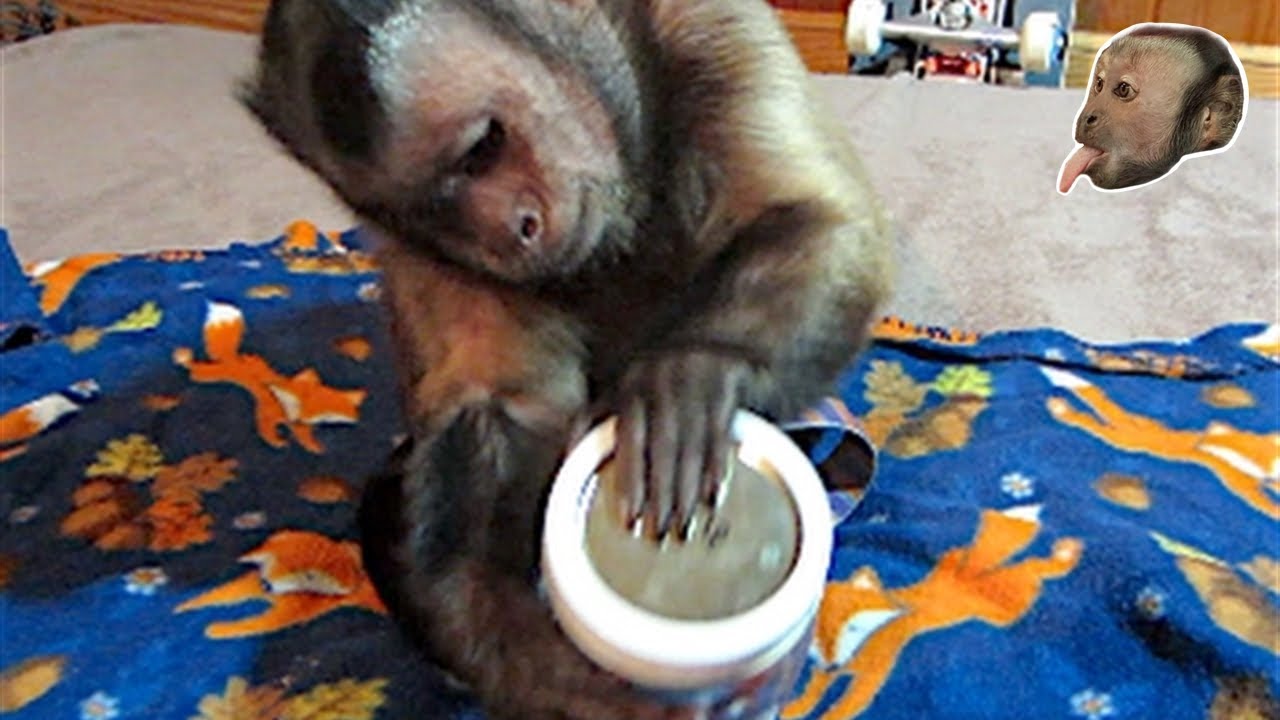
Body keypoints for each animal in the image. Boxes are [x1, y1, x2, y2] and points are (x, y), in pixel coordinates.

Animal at [241, 0, 893, 717]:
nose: (510, 230)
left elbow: (822, 224)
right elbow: (503, 410)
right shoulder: (422, 244)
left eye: (483, 148)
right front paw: (584, 684)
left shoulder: (710, 31)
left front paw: (695, 373)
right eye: (432, 213)